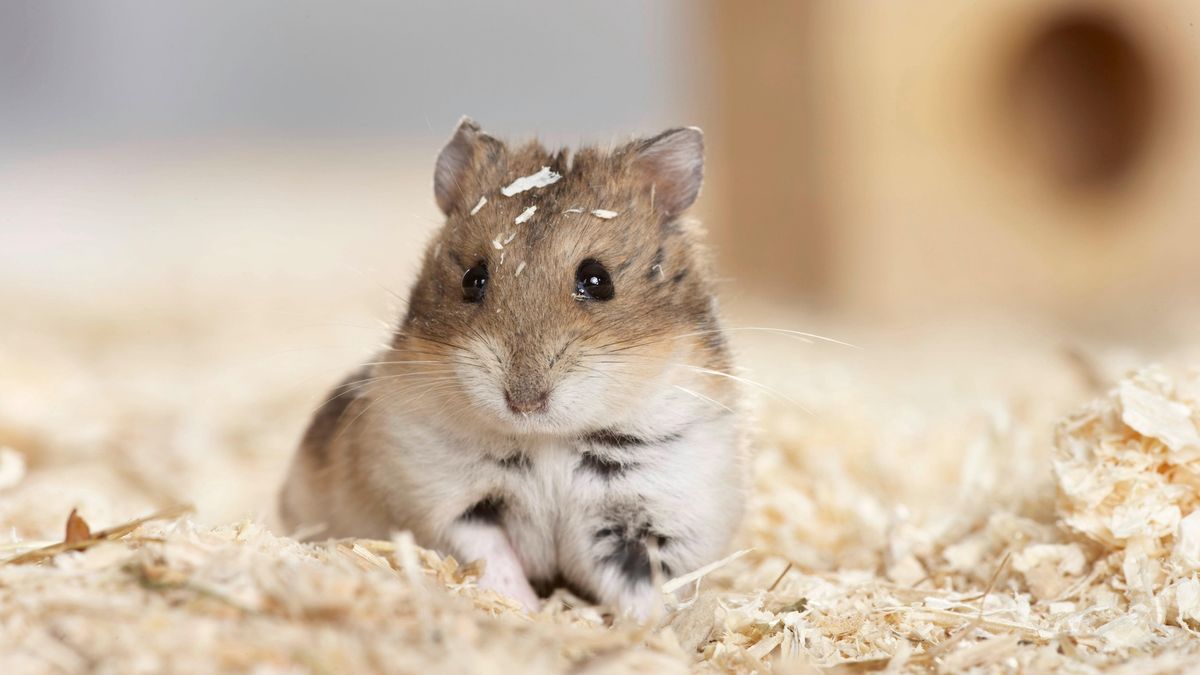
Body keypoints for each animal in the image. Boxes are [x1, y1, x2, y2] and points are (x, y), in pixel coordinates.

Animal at [279, 117, 746, 617]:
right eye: (473, 279)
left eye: (598, 280)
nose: (524, 402)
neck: (547, 437)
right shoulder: (442, 497)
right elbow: (494, 557)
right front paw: (529, 613)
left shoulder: (651, 517)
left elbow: (642, 586)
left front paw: (651, 628)